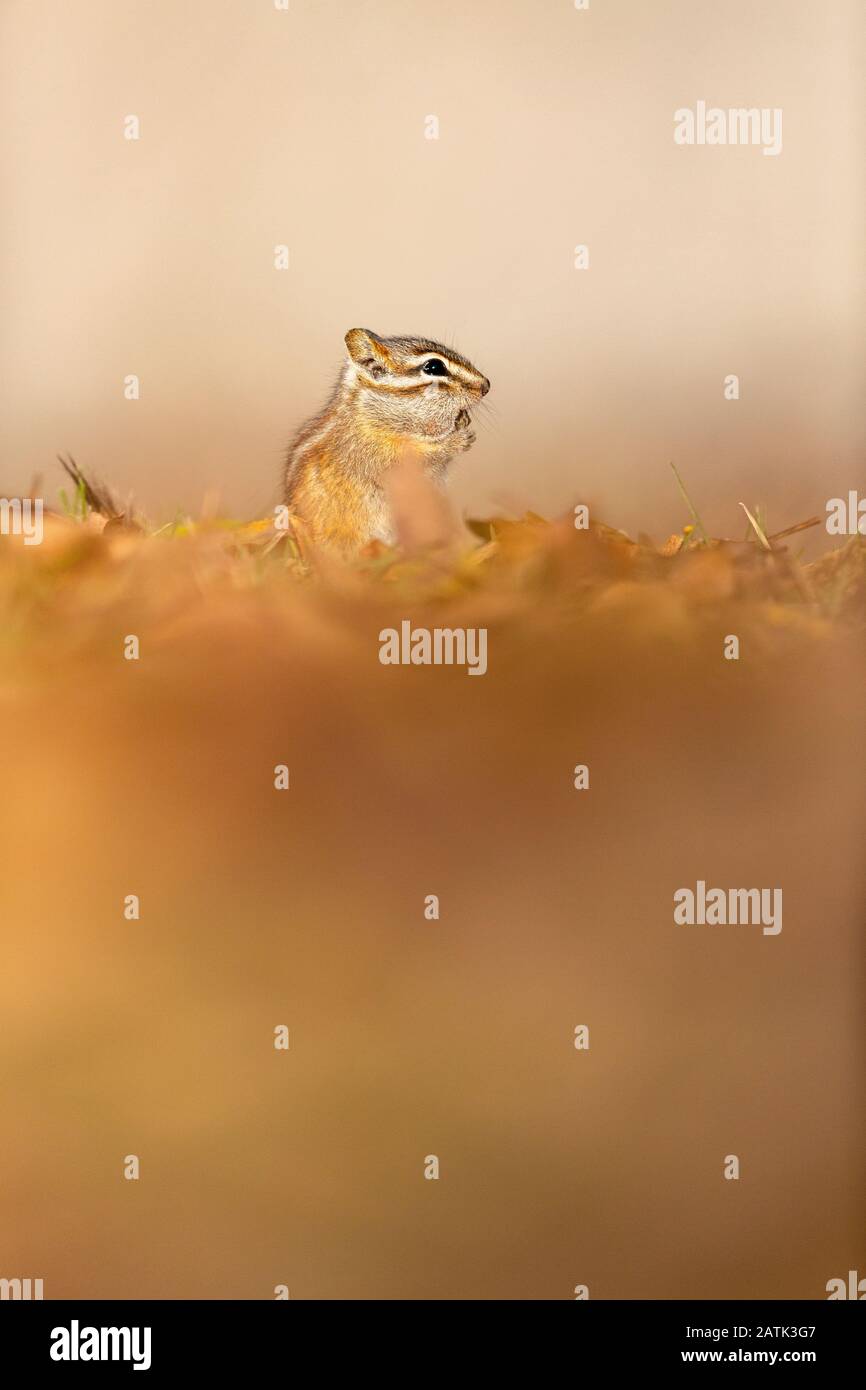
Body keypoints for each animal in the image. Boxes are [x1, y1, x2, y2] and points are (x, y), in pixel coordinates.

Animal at [283, 328, 490, 551]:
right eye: (434, 367)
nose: (486, 385)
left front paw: (461, 420)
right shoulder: (382, 452)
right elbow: (424, 455)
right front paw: (457, 440)